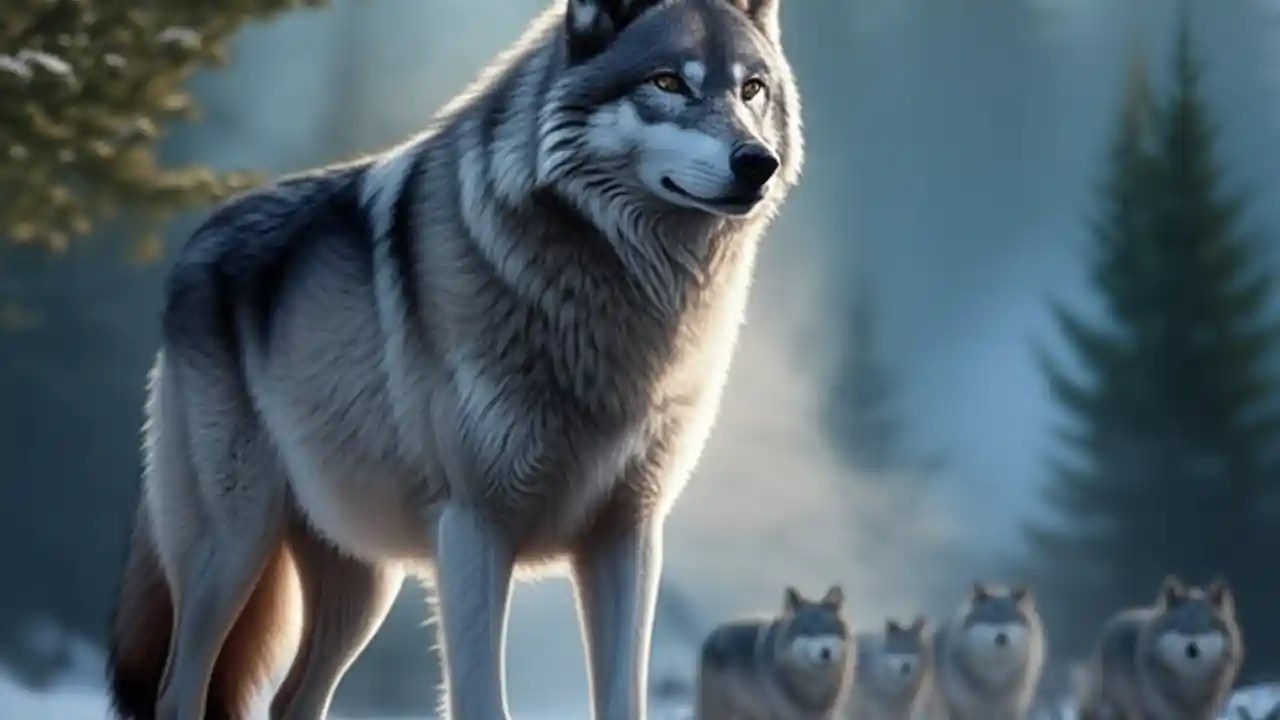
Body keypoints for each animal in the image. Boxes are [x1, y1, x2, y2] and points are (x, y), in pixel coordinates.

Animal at [104, 1, 804, 718]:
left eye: (751, 89)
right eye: (668, 82)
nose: (758, 162)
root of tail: (197, 238)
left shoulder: (627, 532)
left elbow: (622, 699)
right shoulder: (475, 527)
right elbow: (480, 698)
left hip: (363, 582)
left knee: (292, 701)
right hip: (233, 547)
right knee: (177, 690)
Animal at [1078, 576, 1244, 720]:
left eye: (1204, 628)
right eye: (1180, 628)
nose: (1192, 649)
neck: (1189, 683)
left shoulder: (1204, 714)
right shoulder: (1153, 712)